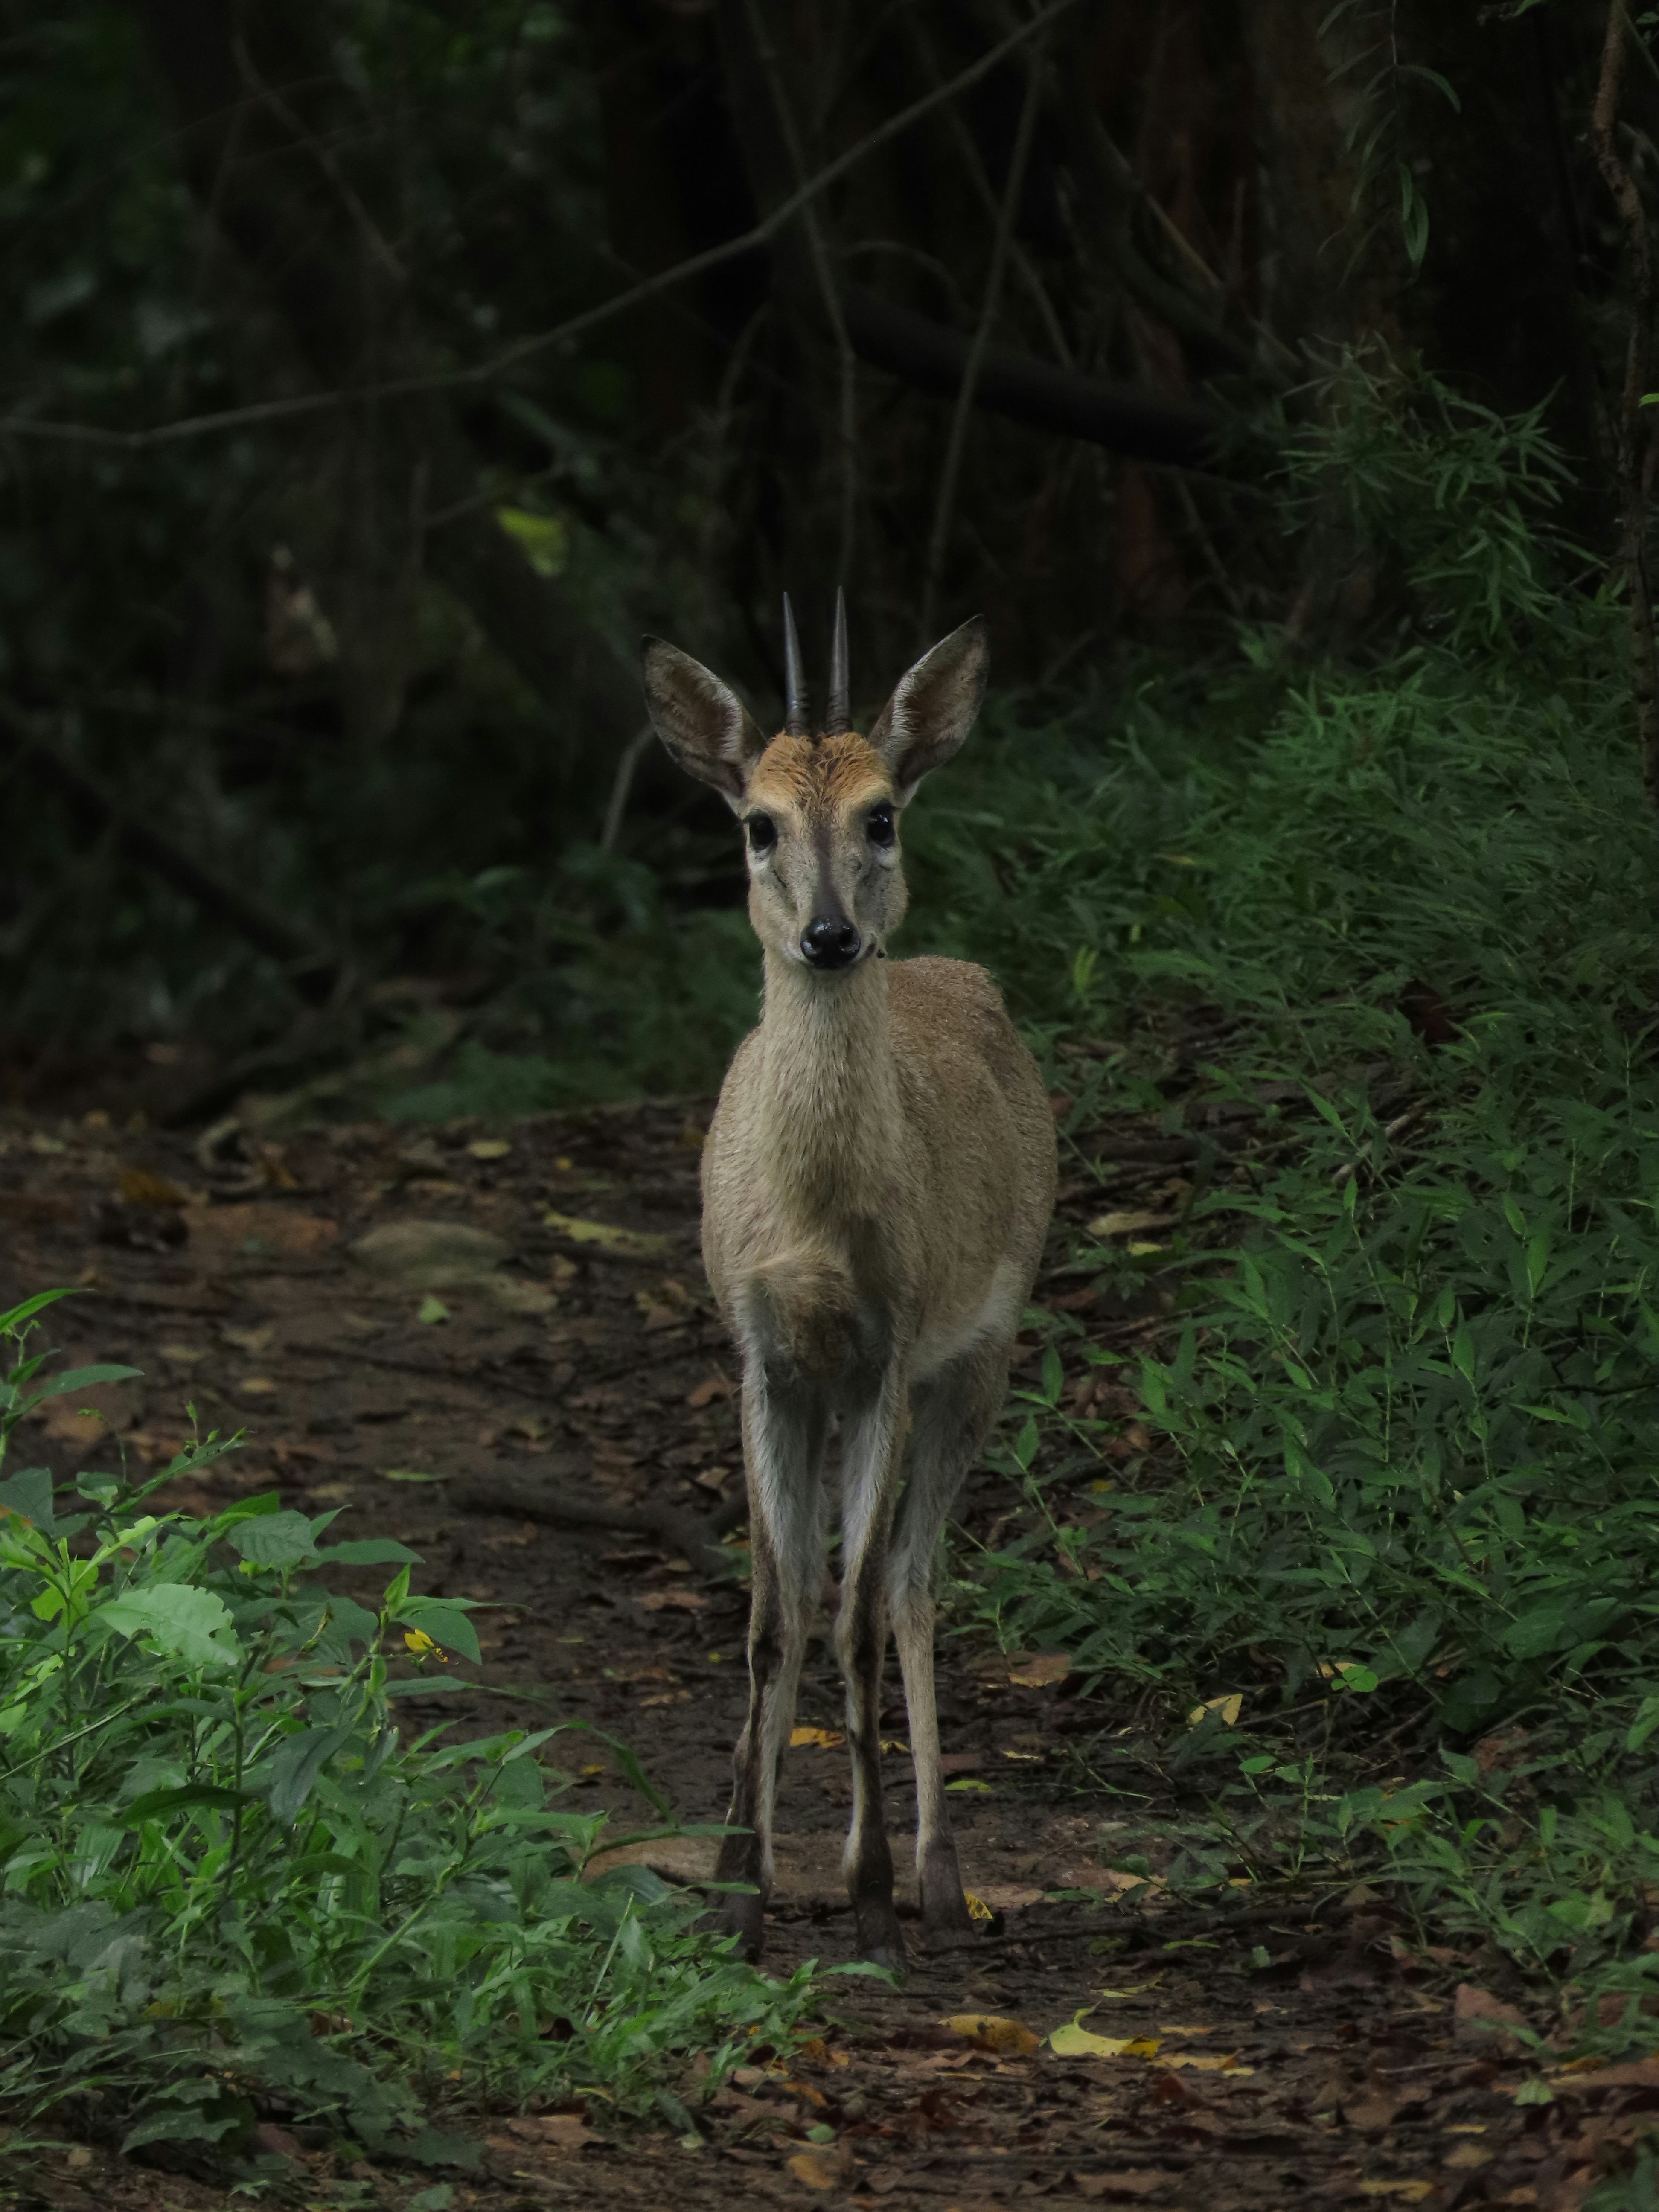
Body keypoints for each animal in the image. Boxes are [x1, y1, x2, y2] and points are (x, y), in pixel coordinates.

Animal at [639, 592, 1057, 1970]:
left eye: (882, 814)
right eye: (757, 823)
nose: (831, 936)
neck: (820, 1227)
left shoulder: (888, 1348)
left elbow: (862, 1613)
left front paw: (868, 1884)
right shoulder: (762, 1351)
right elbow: (776, 1614)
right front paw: (735, 1881)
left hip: (981, 1352)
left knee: (915, 1587)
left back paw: (936, 1872)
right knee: (822, 1587)